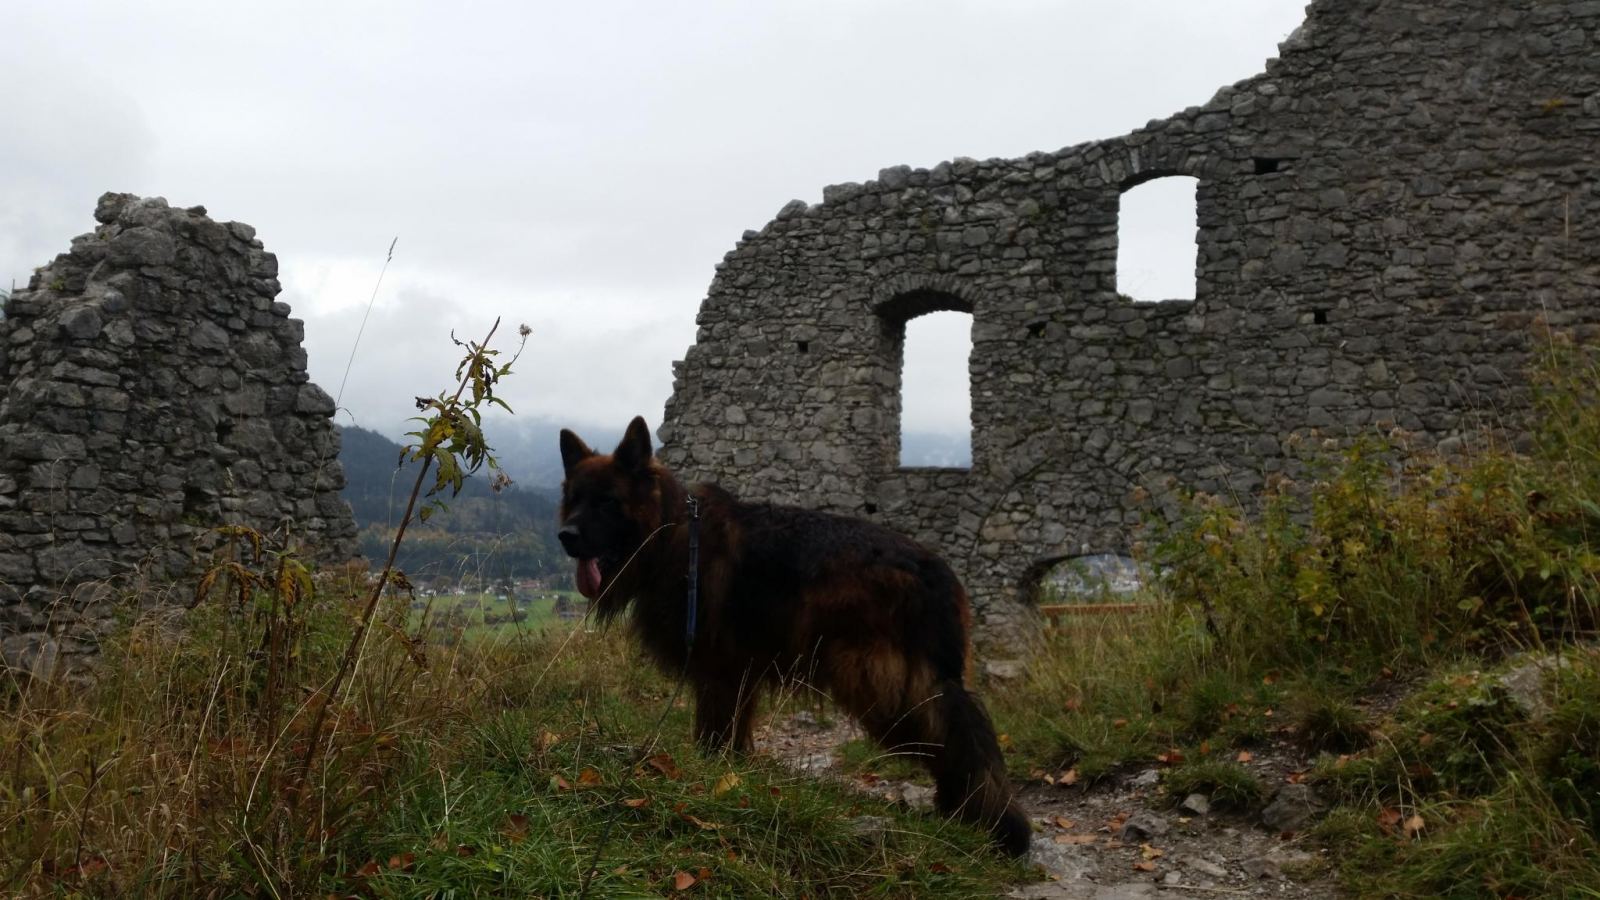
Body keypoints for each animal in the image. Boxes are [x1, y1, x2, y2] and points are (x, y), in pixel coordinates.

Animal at [557, 416, 1030, 856]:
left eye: (607, 502)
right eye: (574, 500)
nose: (565, 536)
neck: (671, 532)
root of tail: (936, 570)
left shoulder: (719, 673)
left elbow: (714, 735)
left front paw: (712, 781)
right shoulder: (738, 678)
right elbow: (732, 738)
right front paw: (733, 779)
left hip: (884, 682)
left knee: (958, 731)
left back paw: (994, 825)